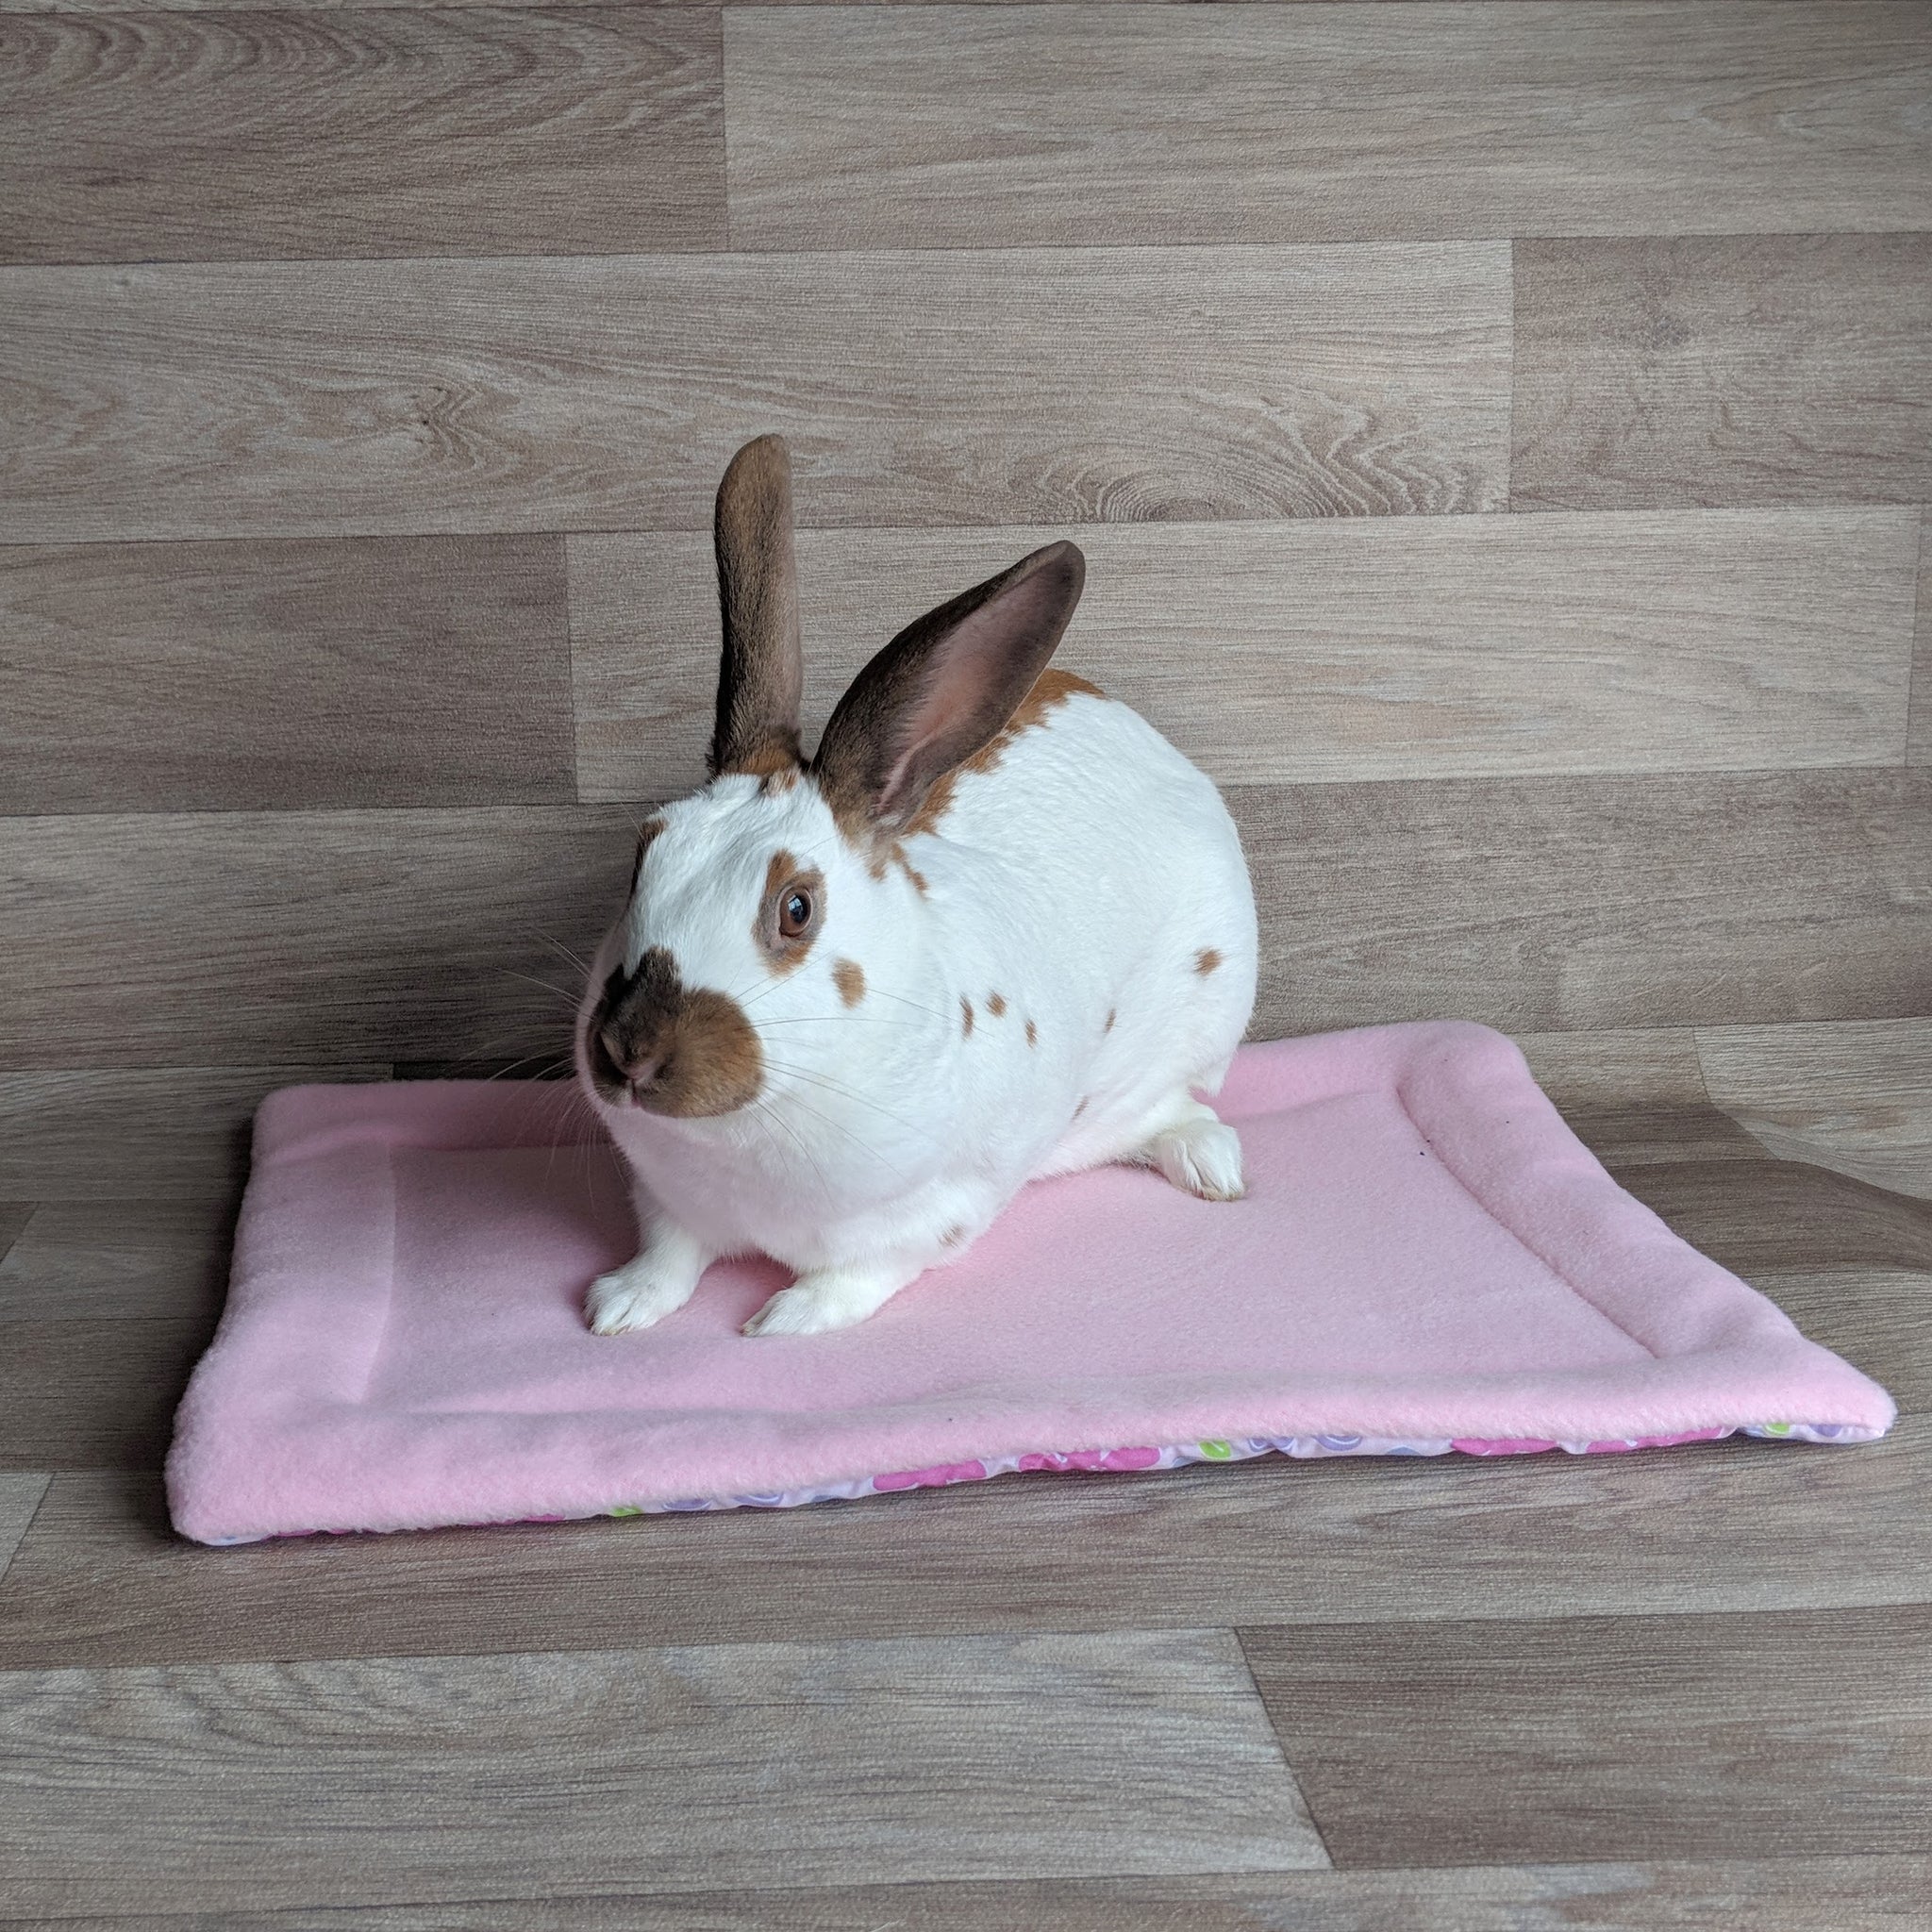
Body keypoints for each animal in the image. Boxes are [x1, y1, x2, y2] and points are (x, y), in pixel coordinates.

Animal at [577, 433, 1258, 1338]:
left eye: (797, 909)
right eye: (643, 857)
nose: (630, 1052)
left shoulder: (937, 1213)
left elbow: (856, 1278)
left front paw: (782, 1321)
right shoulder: (662, 1198)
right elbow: (667, 1256)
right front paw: (617, 1307)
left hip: (1198, 1033)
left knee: (1178, 1107)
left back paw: (1213, 1165)